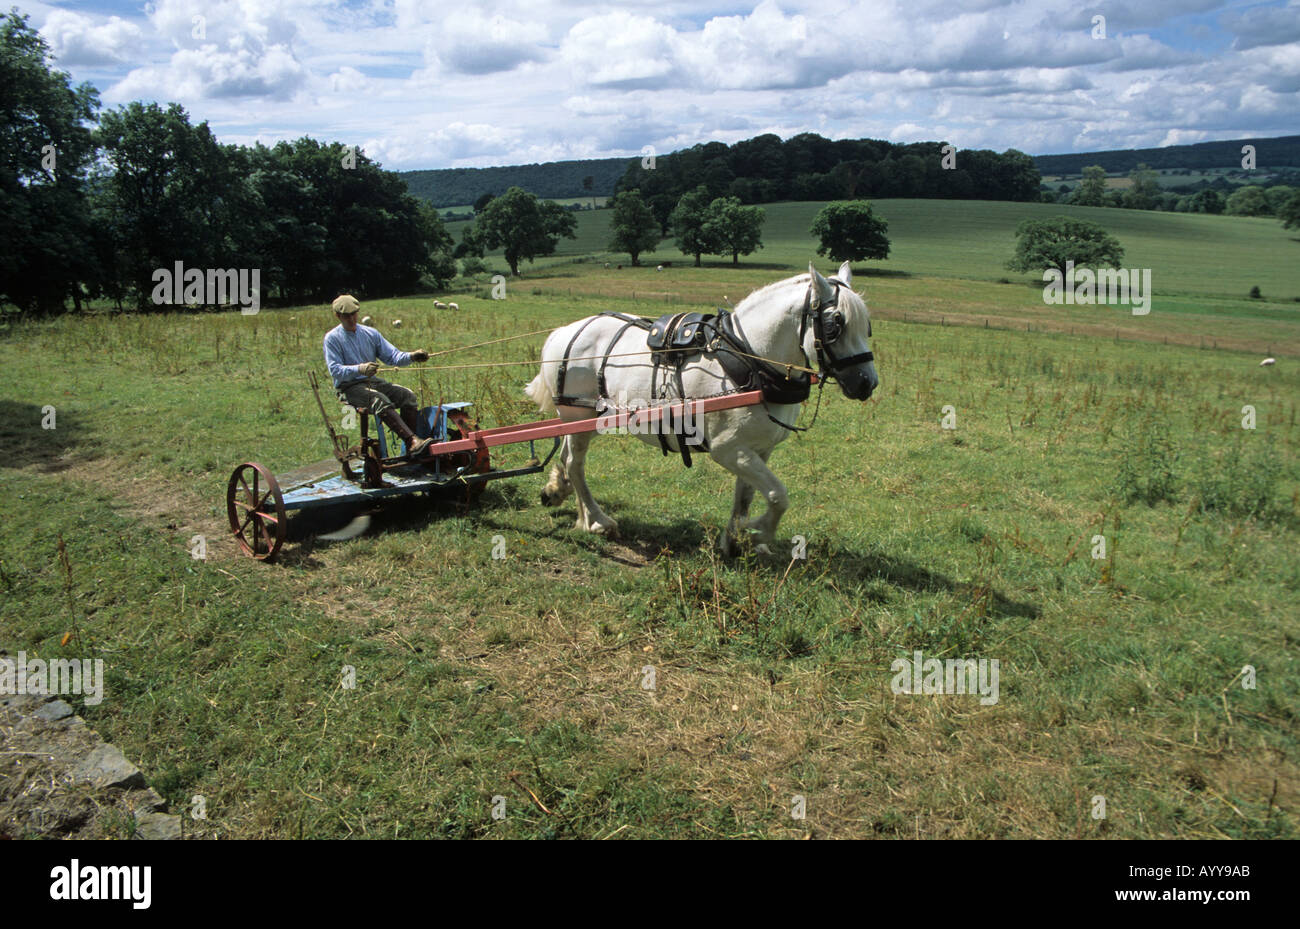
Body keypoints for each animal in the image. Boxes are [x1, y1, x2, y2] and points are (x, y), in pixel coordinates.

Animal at [524, 262, 878, 555]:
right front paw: (759, 532)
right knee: (576, 464)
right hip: (579, 416)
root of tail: (565, 331)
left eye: (867, 326)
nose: (867, 383)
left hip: (589, 419)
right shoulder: (728, 449)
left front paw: (734, 539)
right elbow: (778, 496)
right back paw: (597, 519)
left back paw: (566, 498)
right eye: (835, 324)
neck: (750, 362)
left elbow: (745, 498)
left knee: (567, 456)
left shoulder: (758, 450)